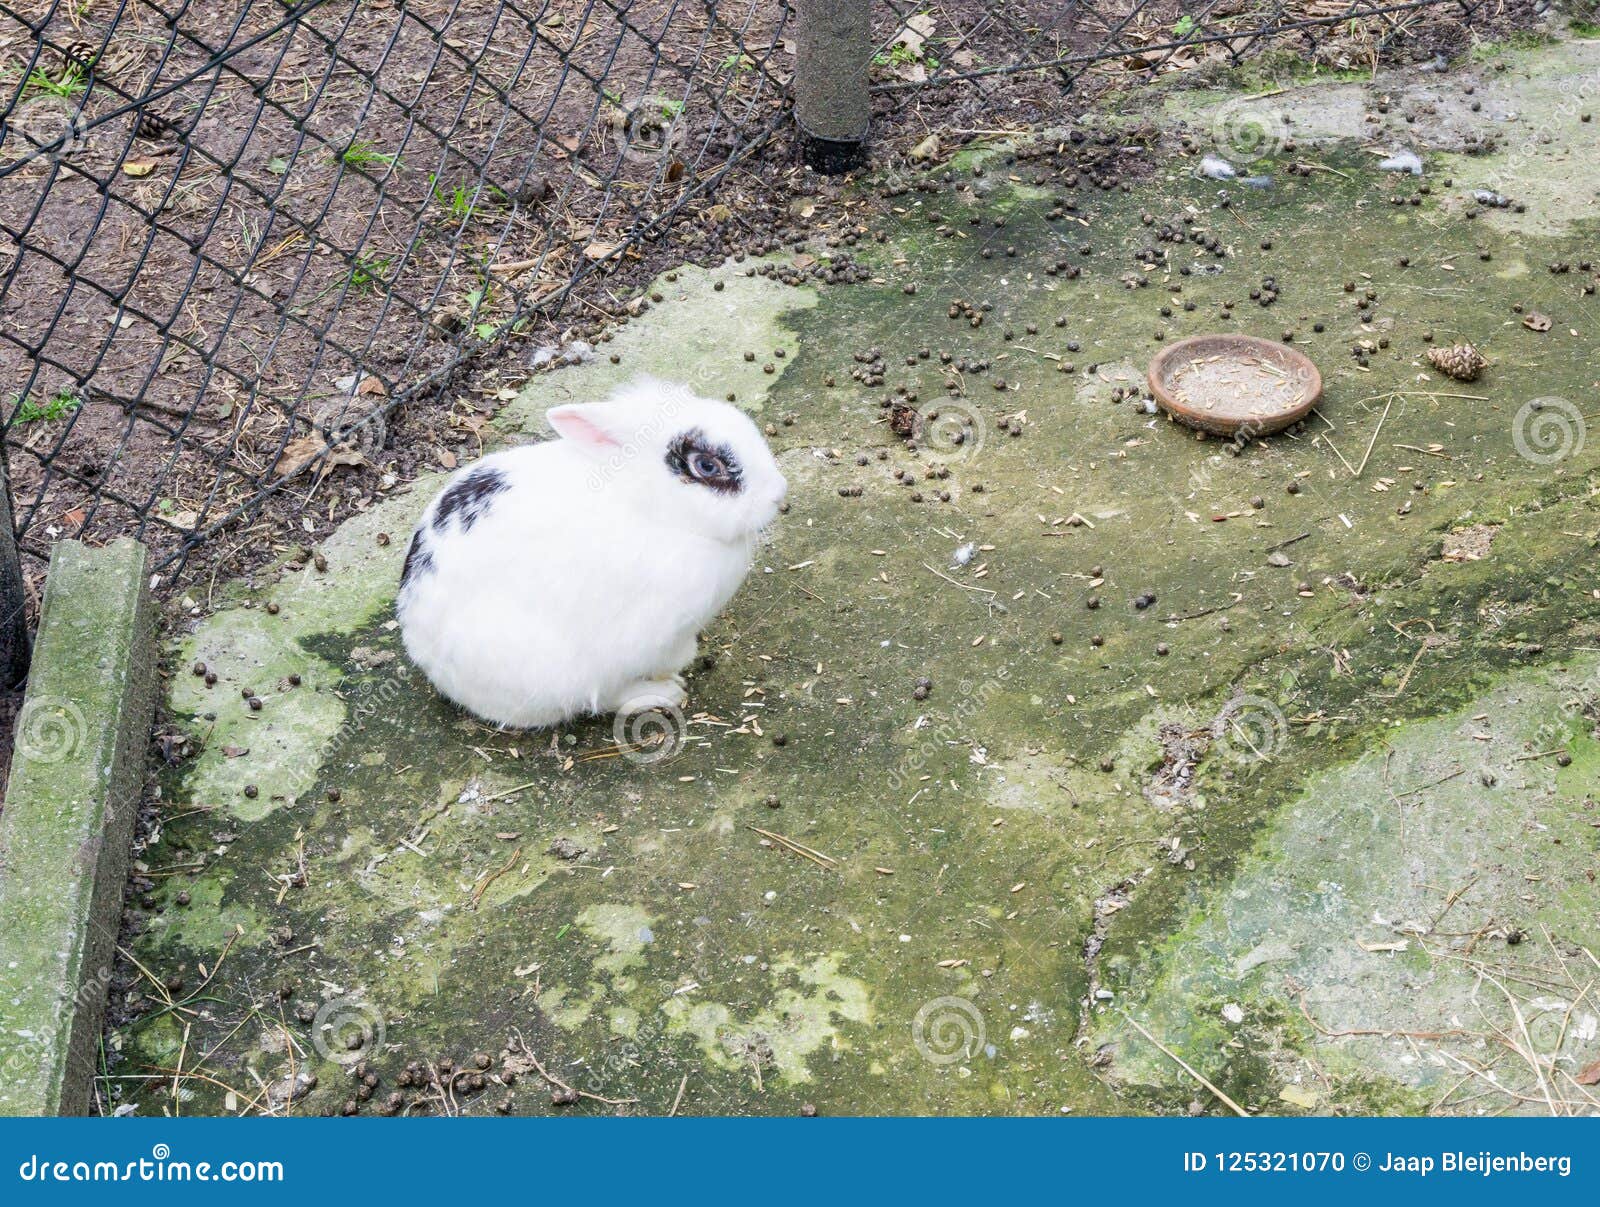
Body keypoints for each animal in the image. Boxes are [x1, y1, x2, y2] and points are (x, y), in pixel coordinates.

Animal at [396, 378, 787, 728]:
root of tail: (423, 652)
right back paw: (665, 693)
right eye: (707, 466)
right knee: (598, 699)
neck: (653, 507)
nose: (778, 493)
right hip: (556, 673)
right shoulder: (653, 635)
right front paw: (679, 668)